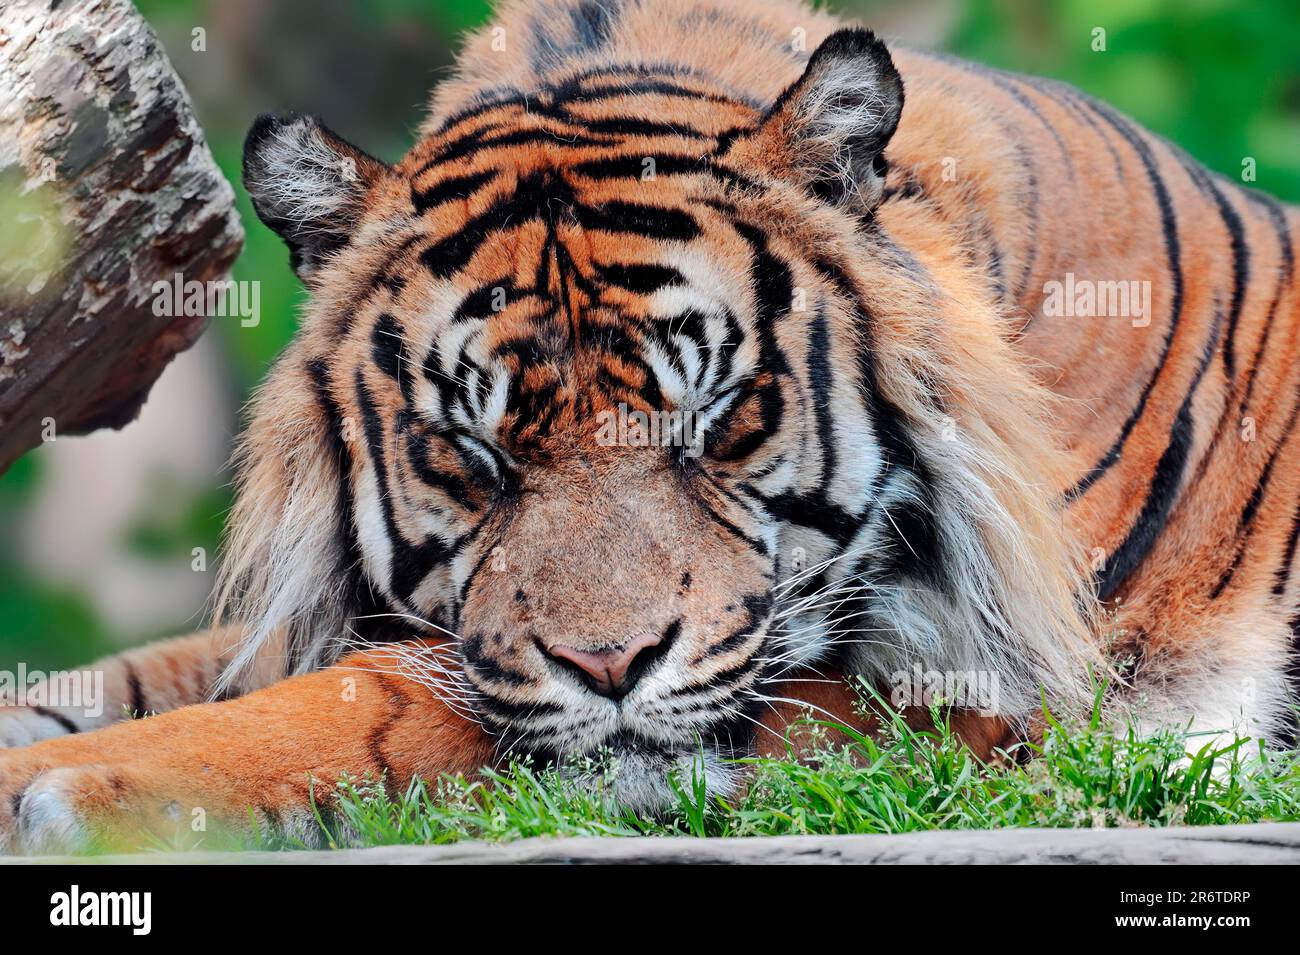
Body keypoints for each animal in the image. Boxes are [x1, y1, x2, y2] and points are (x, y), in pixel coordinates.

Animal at [1, 0, 1297, 854]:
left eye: (717, 419)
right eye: (474, 453)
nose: (611, 666)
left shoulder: (974, 688)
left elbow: (378, 704)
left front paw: (71, 787)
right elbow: (140, 669)